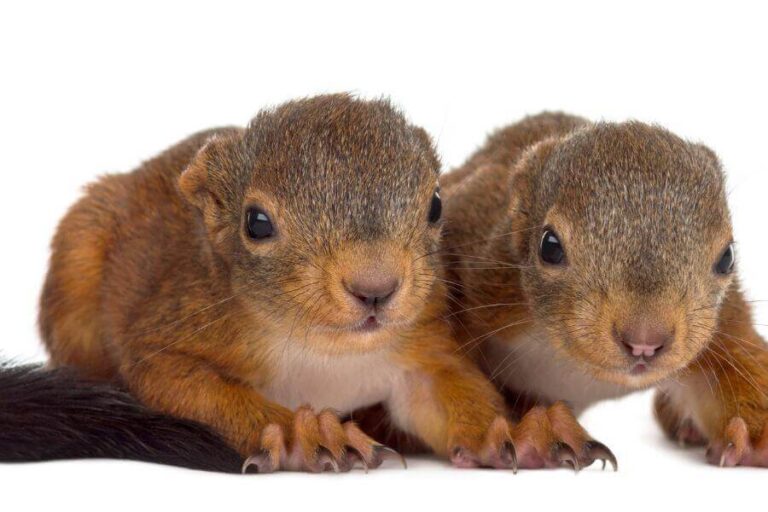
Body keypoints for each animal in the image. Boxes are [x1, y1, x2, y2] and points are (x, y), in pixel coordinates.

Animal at [1, 94, 518, 473]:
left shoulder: (419, 346)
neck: (325, 353)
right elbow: (191, 388)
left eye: (436, 204)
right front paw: (301, 434)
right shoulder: (171, 333)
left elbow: (446, 392)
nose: (375, 286)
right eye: (257, 223)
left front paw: (503, 434)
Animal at [440, 112, 768, 468]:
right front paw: (517, 436)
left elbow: (736, 370)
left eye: (727, 258)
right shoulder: (482, 265)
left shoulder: (722, 329)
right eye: (549, 246)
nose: (644, 341)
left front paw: (756, 439)